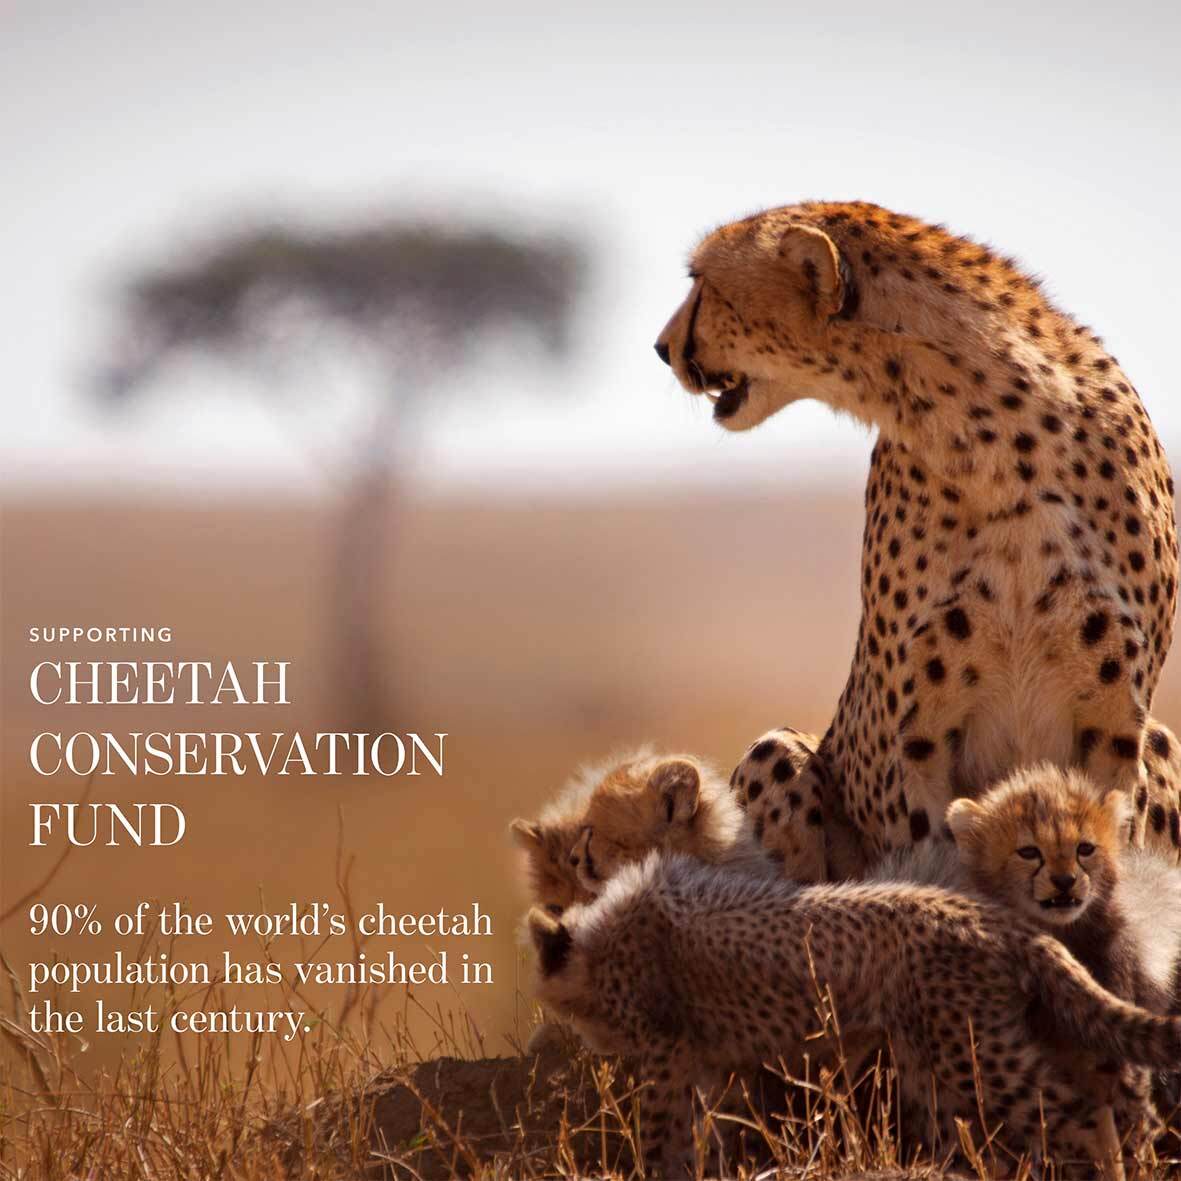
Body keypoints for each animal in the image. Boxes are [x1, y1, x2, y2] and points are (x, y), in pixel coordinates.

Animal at [529, 851, 1181, 1179]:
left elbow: (665, 1134)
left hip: (975, 1054)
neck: (596, 942)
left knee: (1083, 1113)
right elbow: (700, 1134)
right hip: (941, 1052)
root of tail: (997, 916)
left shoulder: (668, 1057)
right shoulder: (703, 1062)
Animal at [654, 200, 1181, 876]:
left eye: (703, 282)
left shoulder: (1117, 728)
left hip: (1160, 740)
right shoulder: (918, 741)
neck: (989, 431)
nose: (662, 347)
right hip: (776, 754)